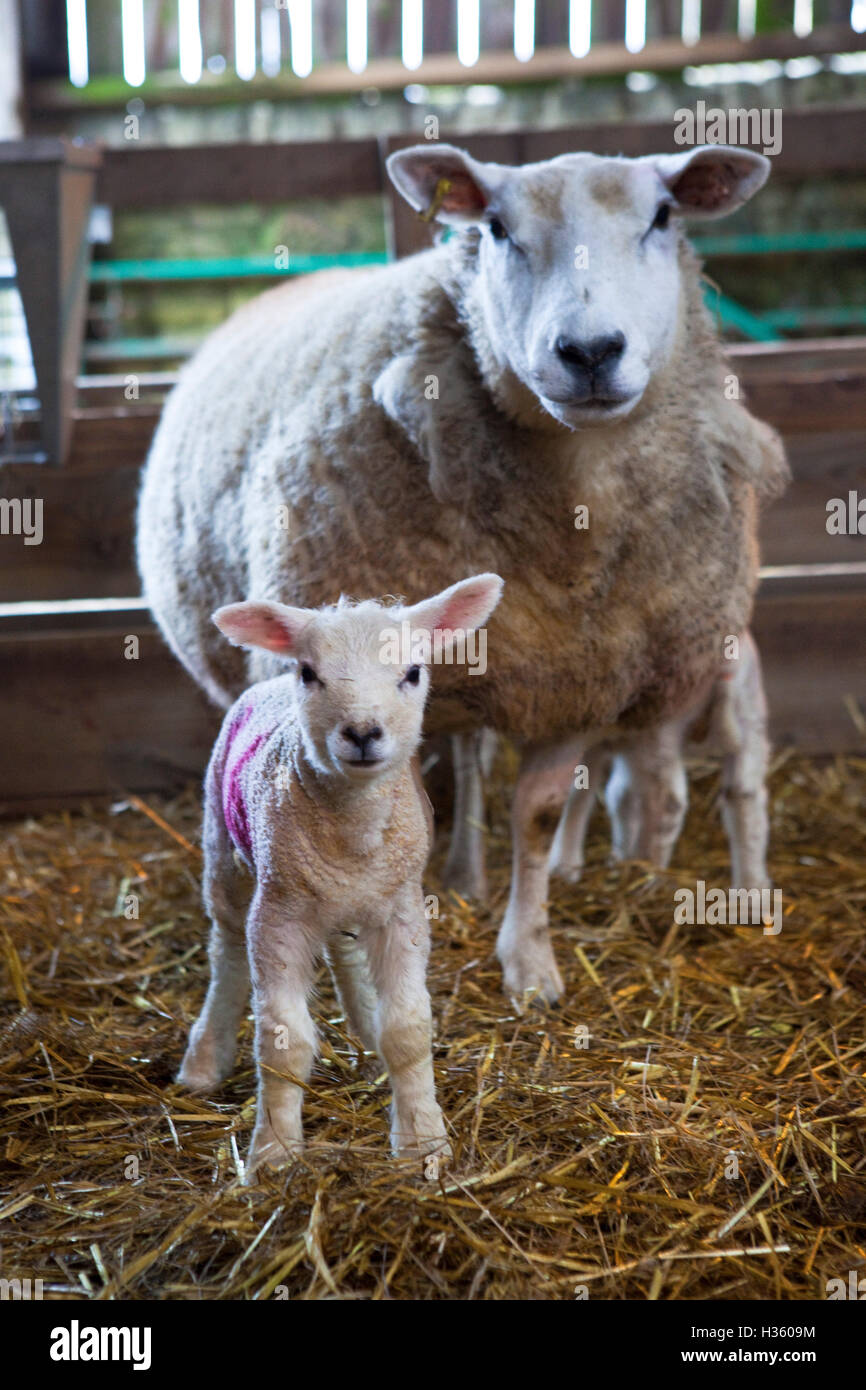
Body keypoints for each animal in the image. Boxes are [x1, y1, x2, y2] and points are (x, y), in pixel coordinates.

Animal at [138, 140, 787, 1007]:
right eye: (496, 227)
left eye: (662, 216)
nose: (589, 352)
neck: (574, 508)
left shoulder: (578, 682)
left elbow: (538, 817)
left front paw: (531, 965)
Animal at [177, 571, 503, 1178]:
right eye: (309, 672)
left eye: (413, 672)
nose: (362, 731)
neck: (352, 831)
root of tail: (264, 685)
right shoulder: (277, 914)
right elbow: (282, 1043)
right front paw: (274, 1154)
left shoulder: (401, 909)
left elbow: (408, 1030)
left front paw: (423, 1142)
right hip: (224, 853)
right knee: (225, 953)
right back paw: (203, 1062)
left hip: (342, 899)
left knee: (343, 951)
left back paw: (365, 1029)